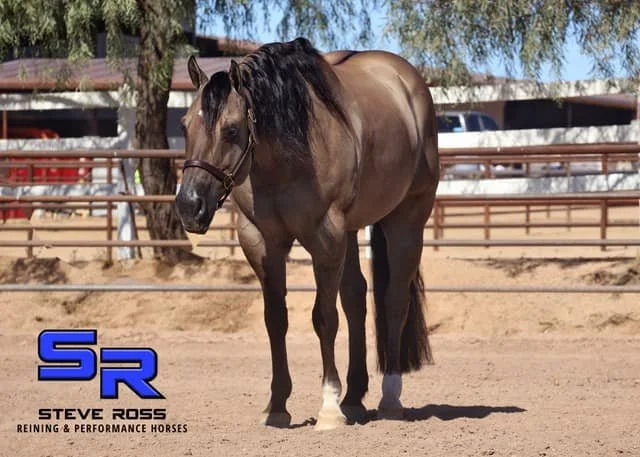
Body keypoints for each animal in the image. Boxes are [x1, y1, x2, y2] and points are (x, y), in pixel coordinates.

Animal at [175, 38, 440, 430]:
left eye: (232, 130)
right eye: (184, 126)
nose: (188, 206)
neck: (286, 156)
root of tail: (409, 83)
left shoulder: (324, 237)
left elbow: (324, 318)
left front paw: (328, 407)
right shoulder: (261, 242)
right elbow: (276, 319)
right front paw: (277, 406)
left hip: (406, 221)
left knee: (393, 301)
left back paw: (389, 398)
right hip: (351, 231)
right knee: (356, 299)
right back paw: (354, 397)